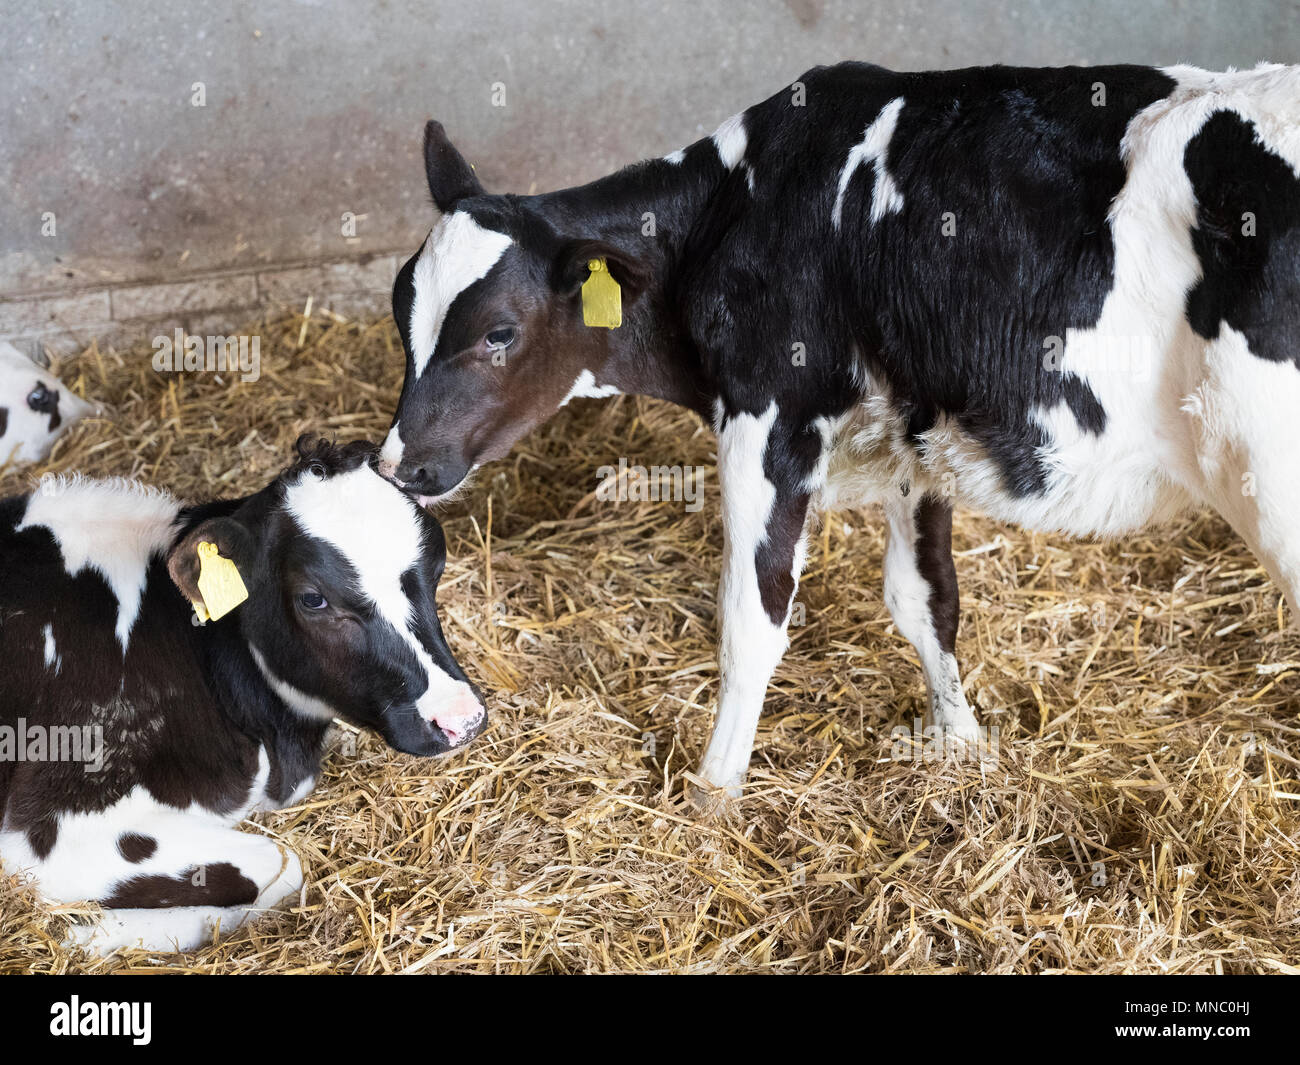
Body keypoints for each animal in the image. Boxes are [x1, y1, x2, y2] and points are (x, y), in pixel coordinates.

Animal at [0, 437, 486, 952]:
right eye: (313, 599)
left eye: (436, 565)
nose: (461, 717)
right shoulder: (50, 826)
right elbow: (285, 867)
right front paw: (94, 935)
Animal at [377, 62, 1300, 799]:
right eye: (400, 310)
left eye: (498, 331)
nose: (398, 463)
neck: (742, 204)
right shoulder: (913, 433)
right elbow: (926, 598)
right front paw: (961, 746)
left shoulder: (771, 414)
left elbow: (752, 614)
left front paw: (714, 794)